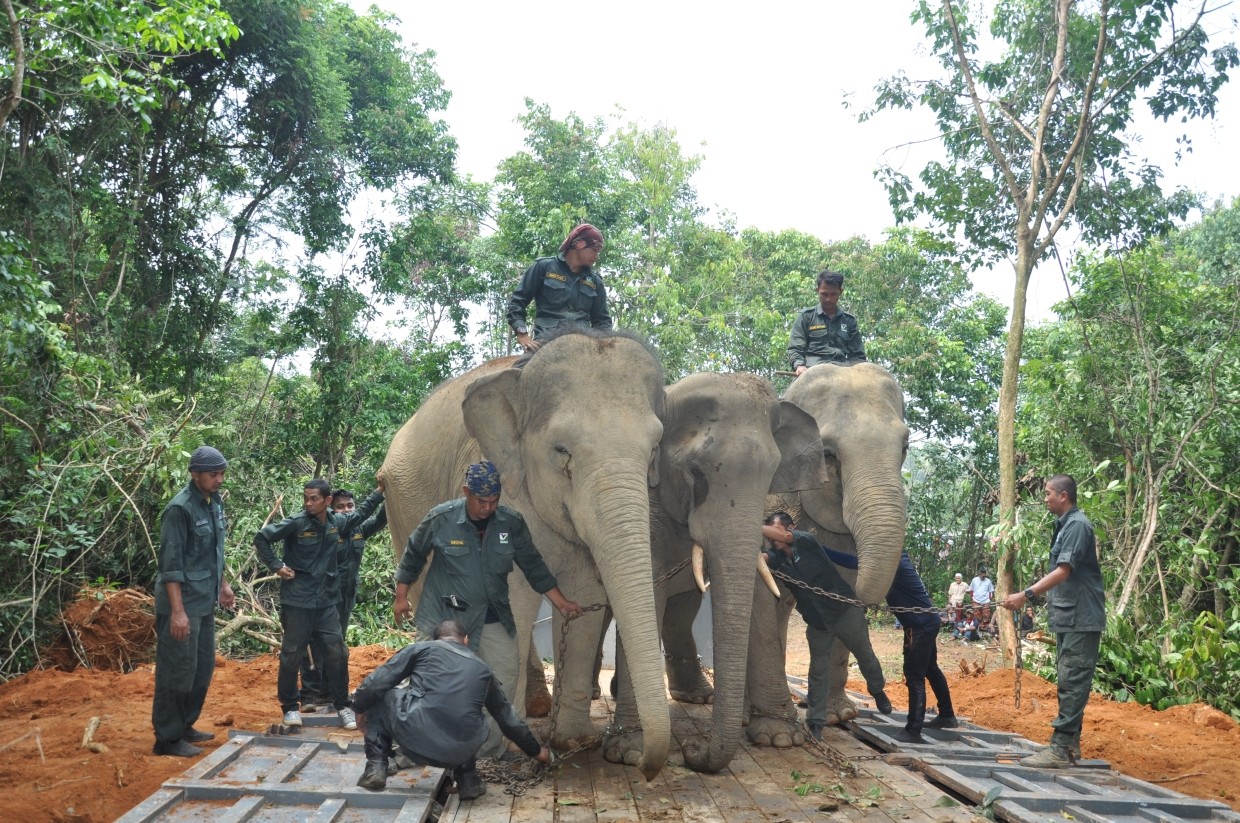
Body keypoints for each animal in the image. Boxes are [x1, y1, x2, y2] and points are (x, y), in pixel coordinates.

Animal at [379, 329, 671, 780]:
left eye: (655, 448)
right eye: (561, 450)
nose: (640, 762)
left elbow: (583, 593)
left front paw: (575, 741)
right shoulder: (499, 479)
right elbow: (512, 592)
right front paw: (506, 744)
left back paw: (538, 707)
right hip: (399, 504)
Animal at [600, 371, 826, 773]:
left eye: (772, 473)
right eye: (694, 472)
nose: (693, 750)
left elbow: (757, 594)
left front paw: (780, 738)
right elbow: (646, 597)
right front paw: (628, 752)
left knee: (681, 612)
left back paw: (697, 697)